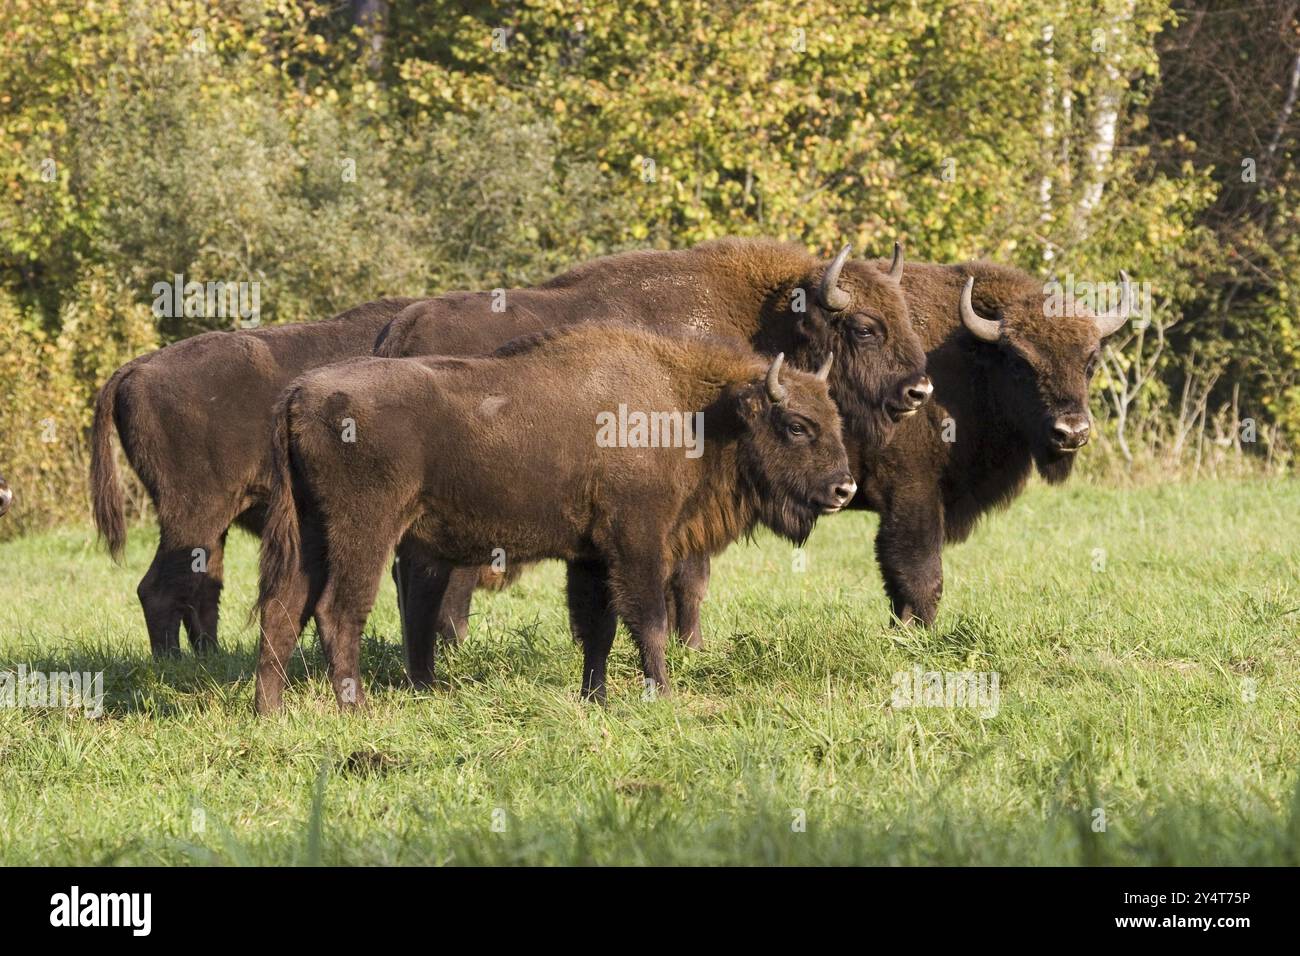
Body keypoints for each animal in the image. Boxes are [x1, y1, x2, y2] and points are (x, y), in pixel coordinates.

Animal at [253, 325, 853, 712]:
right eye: (796, 425)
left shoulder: (591, 556)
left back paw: (271, 713)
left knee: (282, 610)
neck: (692, 410)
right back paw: (354, 709)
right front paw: (661, 695)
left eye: (835, 418)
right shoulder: (637, 541)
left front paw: (596, 698)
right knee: (337, 611)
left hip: (310, 531)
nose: (843, 489)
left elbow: (597, 628)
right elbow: (648, 620)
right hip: (365, 530)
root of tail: (297, 395)